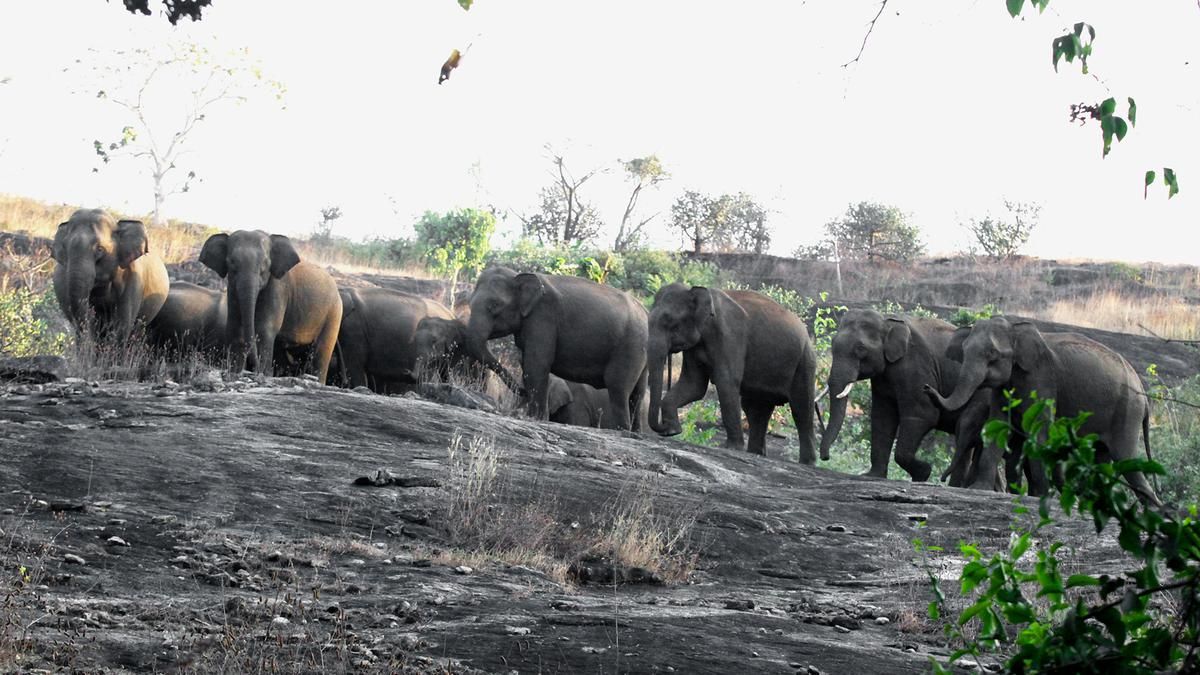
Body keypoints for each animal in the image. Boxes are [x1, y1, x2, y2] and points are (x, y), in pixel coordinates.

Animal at [198, 230, 342, 384]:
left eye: (264, 264)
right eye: (231, 262)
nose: (252, 369)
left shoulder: (278, 287)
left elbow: (264, 330)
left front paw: (262, 375)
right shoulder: (232, 289)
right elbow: (234, 329)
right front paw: (233, 375)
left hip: (334, 314)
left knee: (321, 353)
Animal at [464, 266, 649, 430]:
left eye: (494, 305)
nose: (522, 391)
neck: (518, 275)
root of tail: (646, 312)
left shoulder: (543, 317)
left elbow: (536, 364)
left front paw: (535, 418)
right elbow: (527, 363)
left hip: (630, 345)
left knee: (618, 386)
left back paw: (622, 431)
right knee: (637, 393)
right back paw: (635, 434)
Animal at [646, 283, 817, 460]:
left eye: (671, 323)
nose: (663, 425)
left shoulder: (730, 335)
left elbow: (726, 382)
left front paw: (732, 448)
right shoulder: (695, 346)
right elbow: (693, 385)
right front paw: (672, 431)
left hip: (805, 362)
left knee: (801, 409)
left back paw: (807, 462)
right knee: (755, 409)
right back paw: (756, 453)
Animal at [821, 309, 993, 485]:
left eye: (860, 348)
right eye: (832, 344)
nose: (825, 457)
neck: (887, 321)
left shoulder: (915, 366)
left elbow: (922, 415)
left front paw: (923, 473)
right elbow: (883, 418)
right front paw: (871, 476)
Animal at [925, 316, 1160, 505]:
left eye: (992, 353)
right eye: (964, 352)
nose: (927, 388)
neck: (1015, 331)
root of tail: (1144, 394)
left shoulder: (1042, 378)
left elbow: (1039, 432)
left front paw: (1040, 497)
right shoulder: (1005, 388)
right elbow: (998, 426)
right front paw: (979, 490)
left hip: (1127, 412)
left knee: (1125, 460)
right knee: (1102, 461)